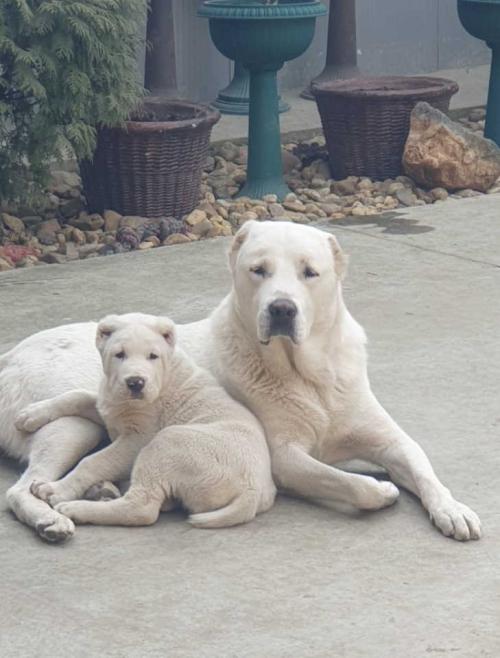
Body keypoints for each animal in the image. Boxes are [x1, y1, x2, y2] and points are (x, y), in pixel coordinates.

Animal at [20, 312, 274, 528]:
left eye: (153, 356)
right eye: (119, 354)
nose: (135, 382)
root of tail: (253, 491)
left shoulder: (137, 440)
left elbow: (94, 461)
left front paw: (55, 490)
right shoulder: (110, 407)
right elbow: (78, 396)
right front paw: (31, 414)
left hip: (168, 442)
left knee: (142, 507)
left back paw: (76, 508)